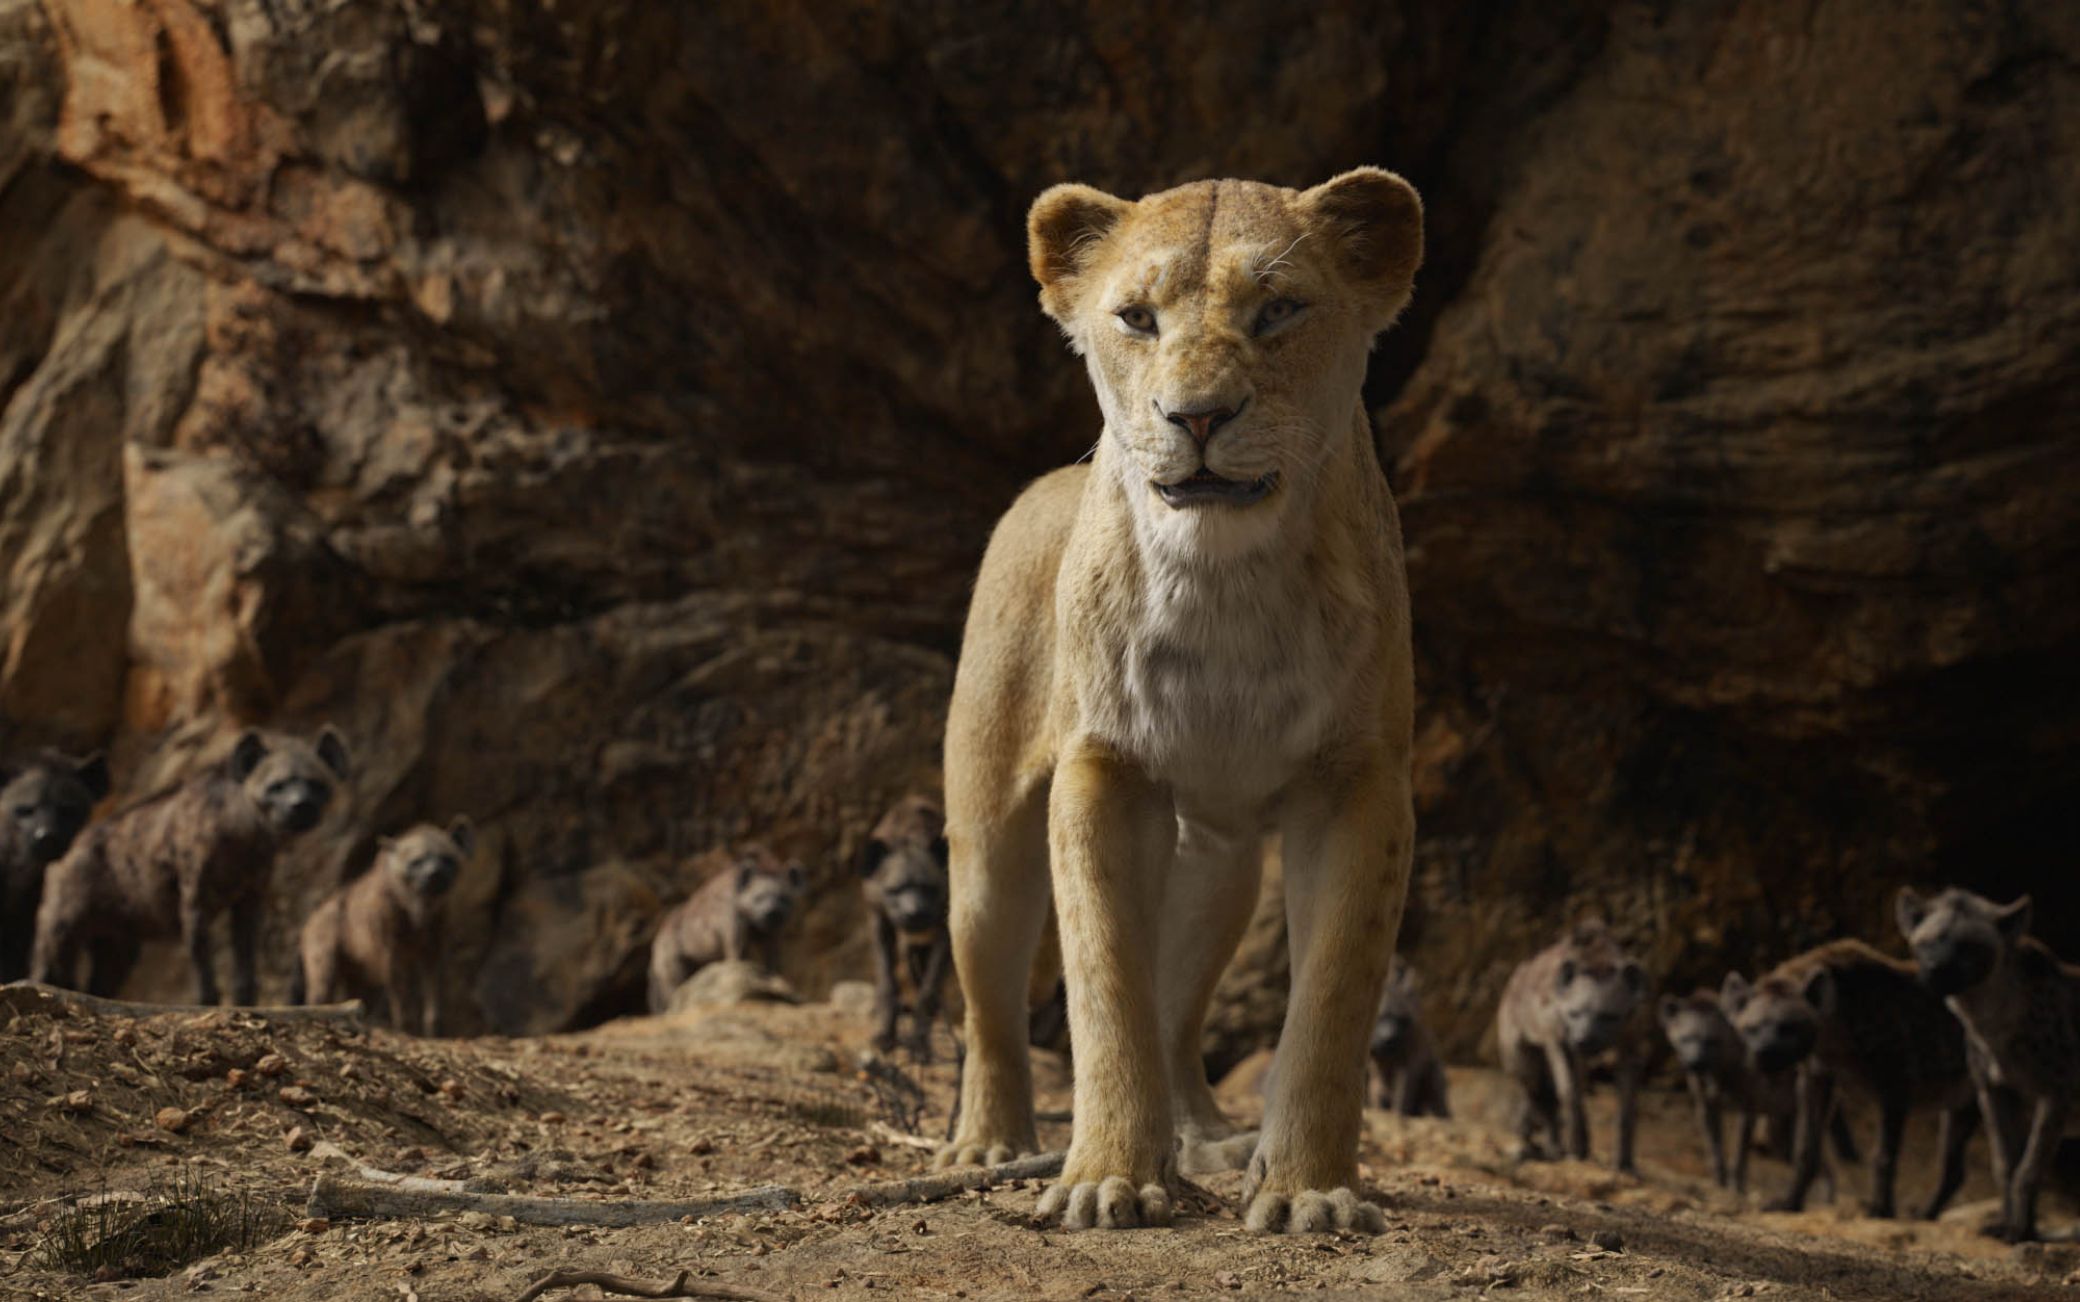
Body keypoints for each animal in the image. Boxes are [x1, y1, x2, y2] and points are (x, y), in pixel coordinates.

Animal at [935, 170, 1422, 1235]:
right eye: (1136, 318)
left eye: (1279, 311)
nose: (1197, 417)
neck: (1222, 578)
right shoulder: (1105, 769)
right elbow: (1103, 983)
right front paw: (1107, 1178)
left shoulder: (1359, 780)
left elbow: (1333, 999)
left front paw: (1308, 1190)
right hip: (987, 838)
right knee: (990, 1001)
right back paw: (990, 1143)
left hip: (1225, 862)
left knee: (1179, 1008)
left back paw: (1200, 1138)